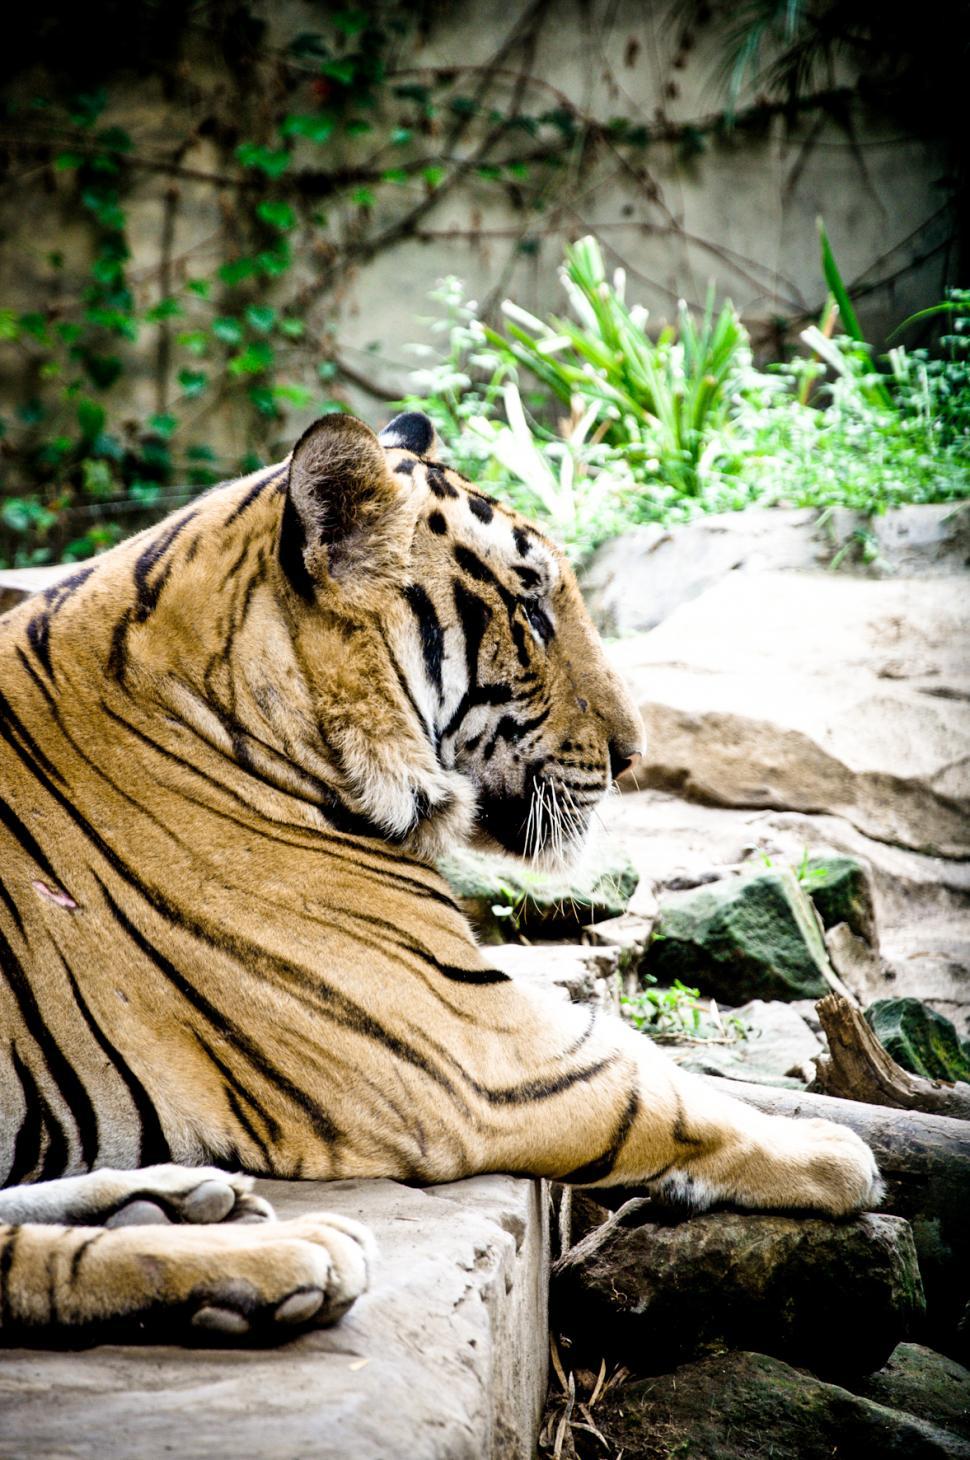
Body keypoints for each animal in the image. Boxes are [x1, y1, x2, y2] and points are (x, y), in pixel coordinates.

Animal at [0, 409, 882, 1344]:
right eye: (530, 607)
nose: (633, 753)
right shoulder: (467, 1050)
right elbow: (658, 1089)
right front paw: (835, 1153)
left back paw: (177, 1197)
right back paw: (280, 1259)